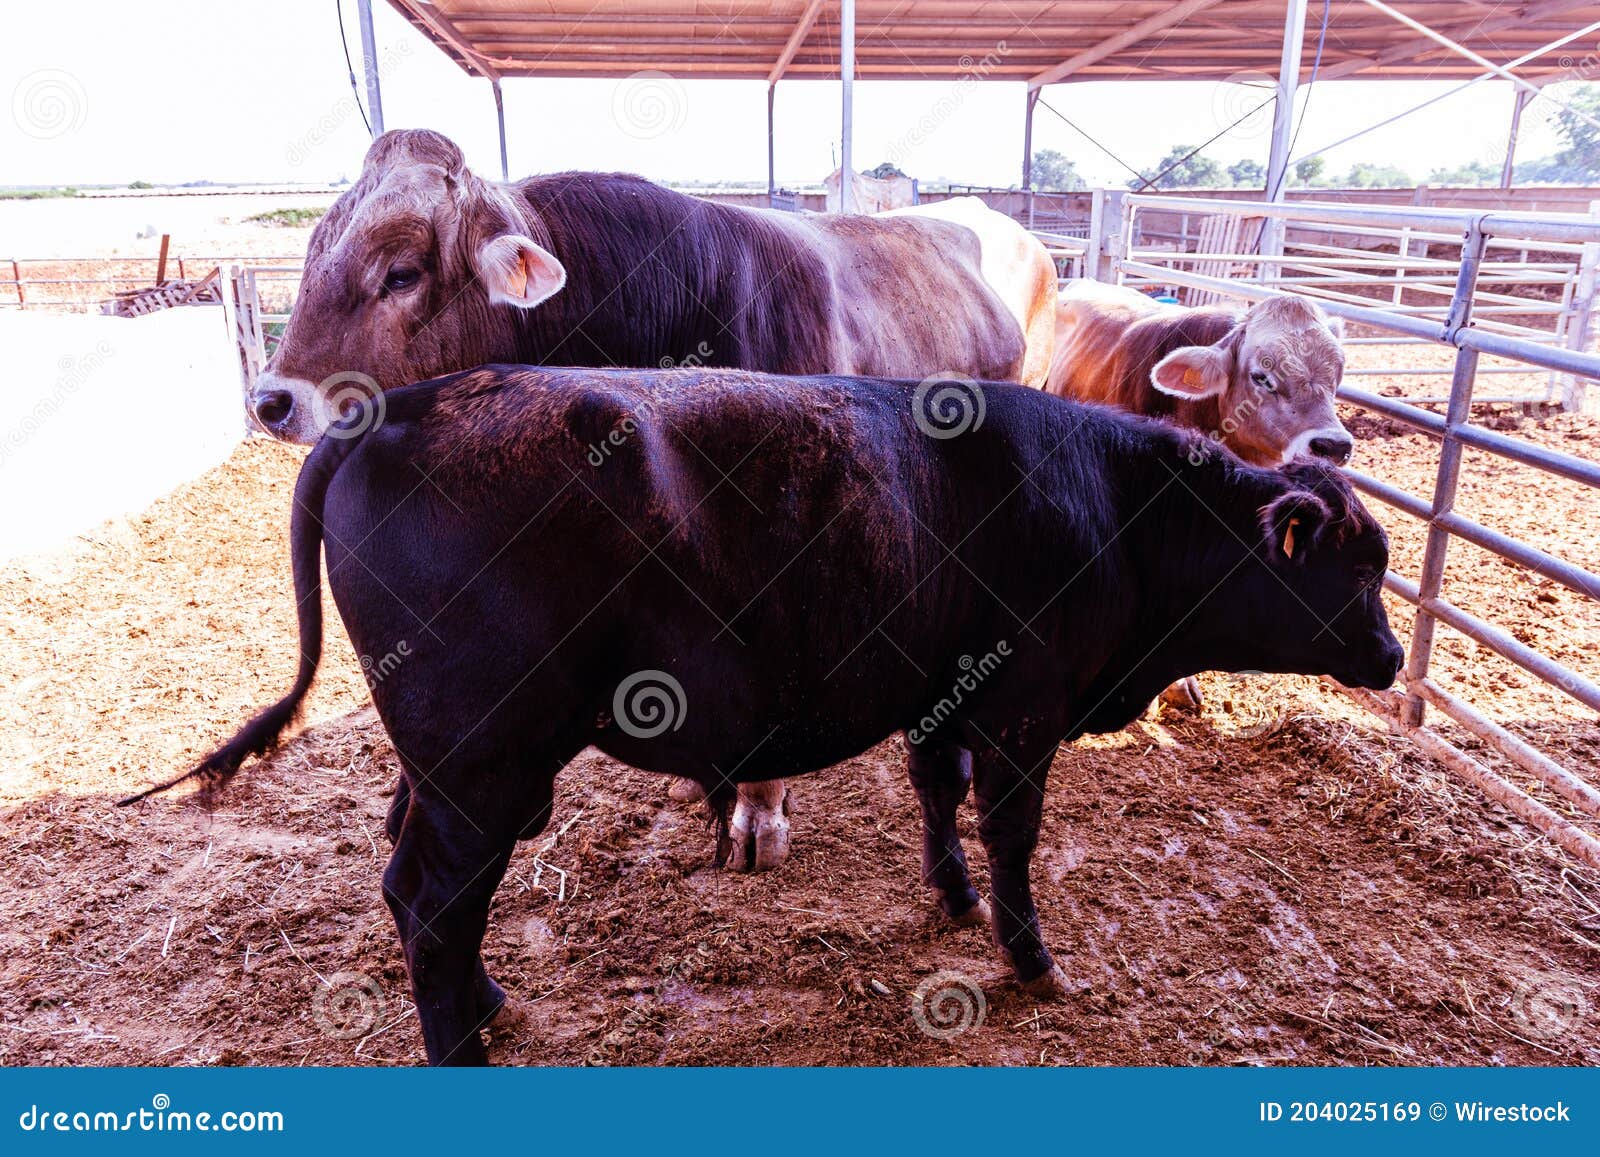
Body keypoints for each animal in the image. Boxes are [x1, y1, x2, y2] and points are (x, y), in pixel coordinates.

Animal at [127, 365, 1405, 1066]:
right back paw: (462, 1046)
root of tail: (398, 407)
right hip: (484, 758)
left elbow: (935, 795)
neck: (1109, 502)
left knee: (422, 883)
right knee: (430, 899)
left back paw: (487, 1001)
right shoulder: (1021, 711)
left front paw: (950, 898)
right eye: (1354, 567)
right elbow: (1012, 838)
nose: (1394, 655)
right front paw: (1032, 955)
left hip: (446, 762)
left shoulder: (941, 695)